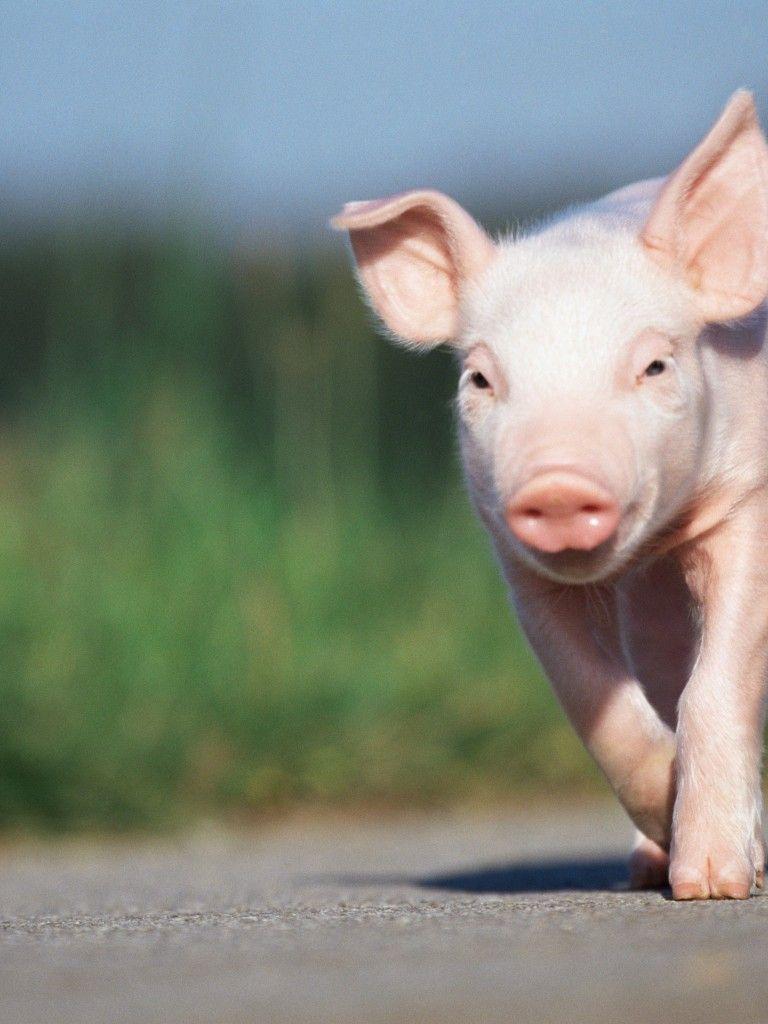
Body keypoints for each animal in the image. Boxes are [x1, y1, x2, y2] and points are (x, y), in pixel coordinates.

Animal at [332, 90, 768, 899]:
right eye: (479, 378)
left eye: (656, 366)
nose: (558, 483)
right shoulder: (518, 563)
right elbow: (595, 697)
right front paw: (671, 848)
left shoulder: (748, 500)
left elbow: (717, 682)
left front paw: (714, 887)